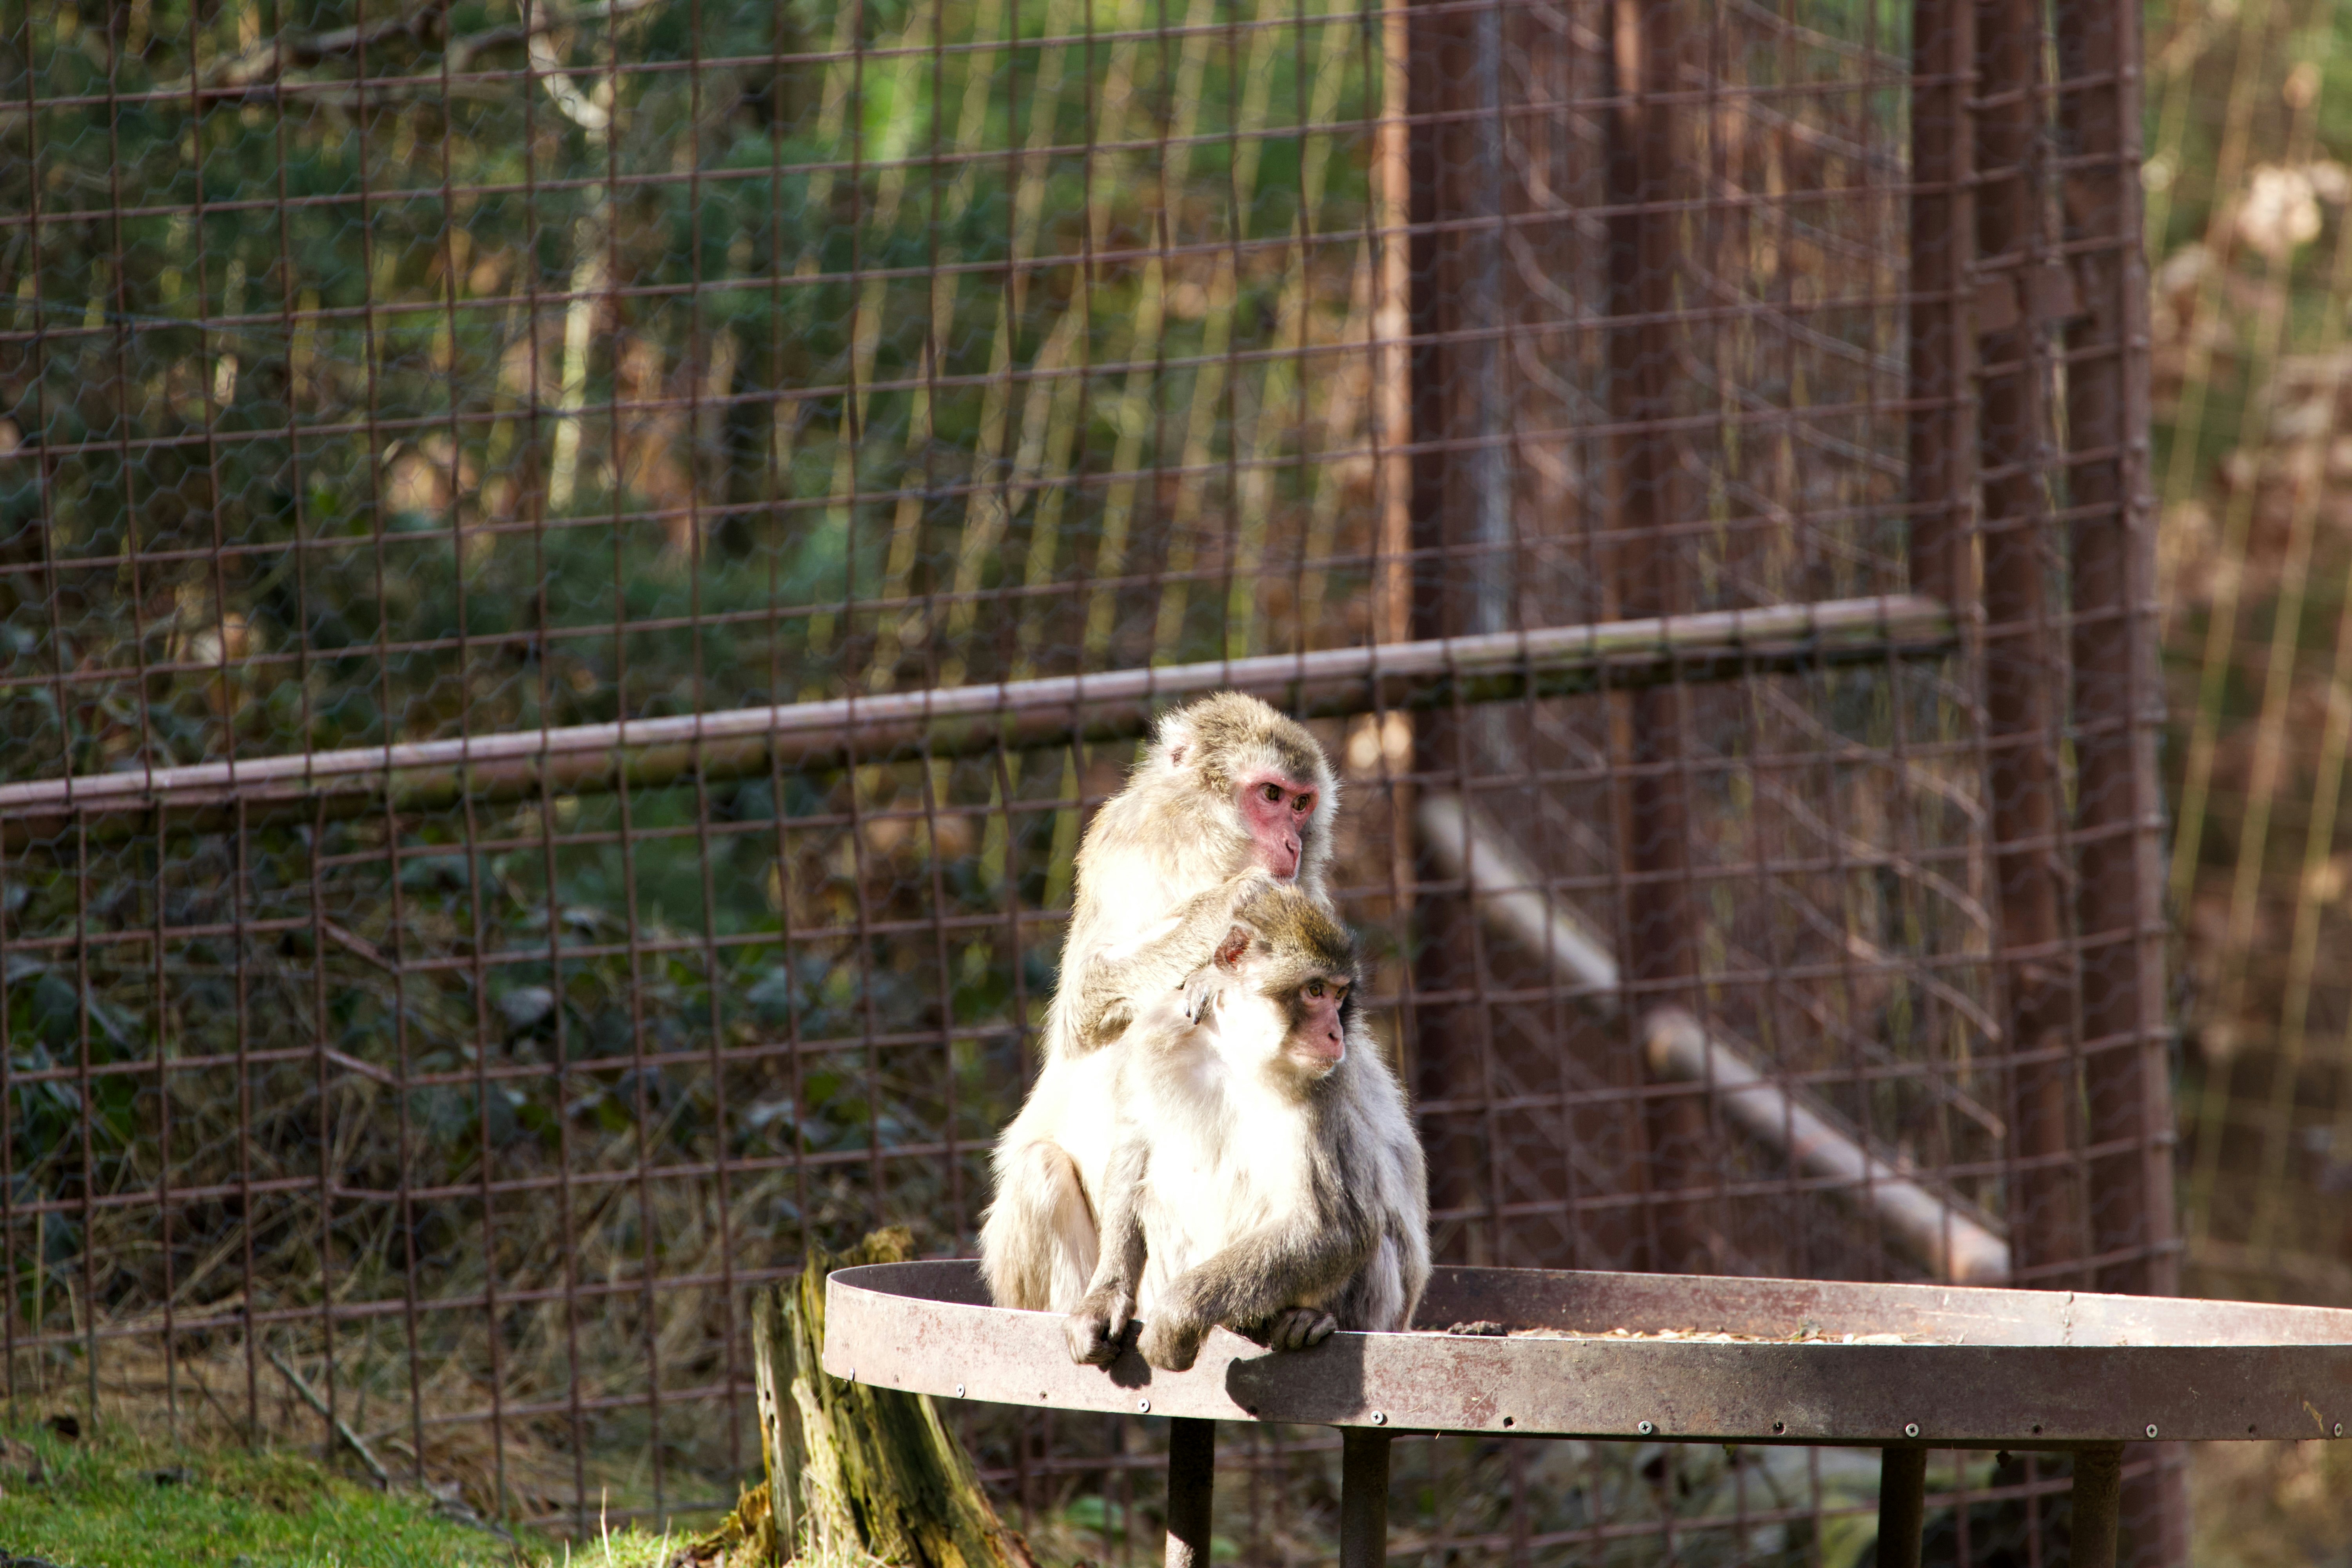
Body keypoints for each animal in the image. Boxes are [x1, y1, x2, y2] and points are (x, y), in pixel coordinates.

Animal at [979, 692, 1342, 1314]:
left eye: (1301, 804)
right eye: (1270, 796)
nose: (1294, 843)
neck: (1203, 855)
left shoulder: (1309, 904)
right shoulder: (1126, 849)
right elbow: (1083, 1008)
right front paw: (1233, 902)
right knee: (1039, 1173)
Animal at [1056, 883, 1430, 1372]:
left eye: (1338, 995)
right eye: (1315, 991)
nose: (1335, 1034)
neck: (1237, 1047)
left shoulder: (1327, 1085)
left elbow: (1338, 1226)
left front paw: (1178, 1314)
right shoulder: (1155, 1034)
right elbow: (1134, 1150)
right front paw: (1103, 1298)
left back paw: (1307, 1319)